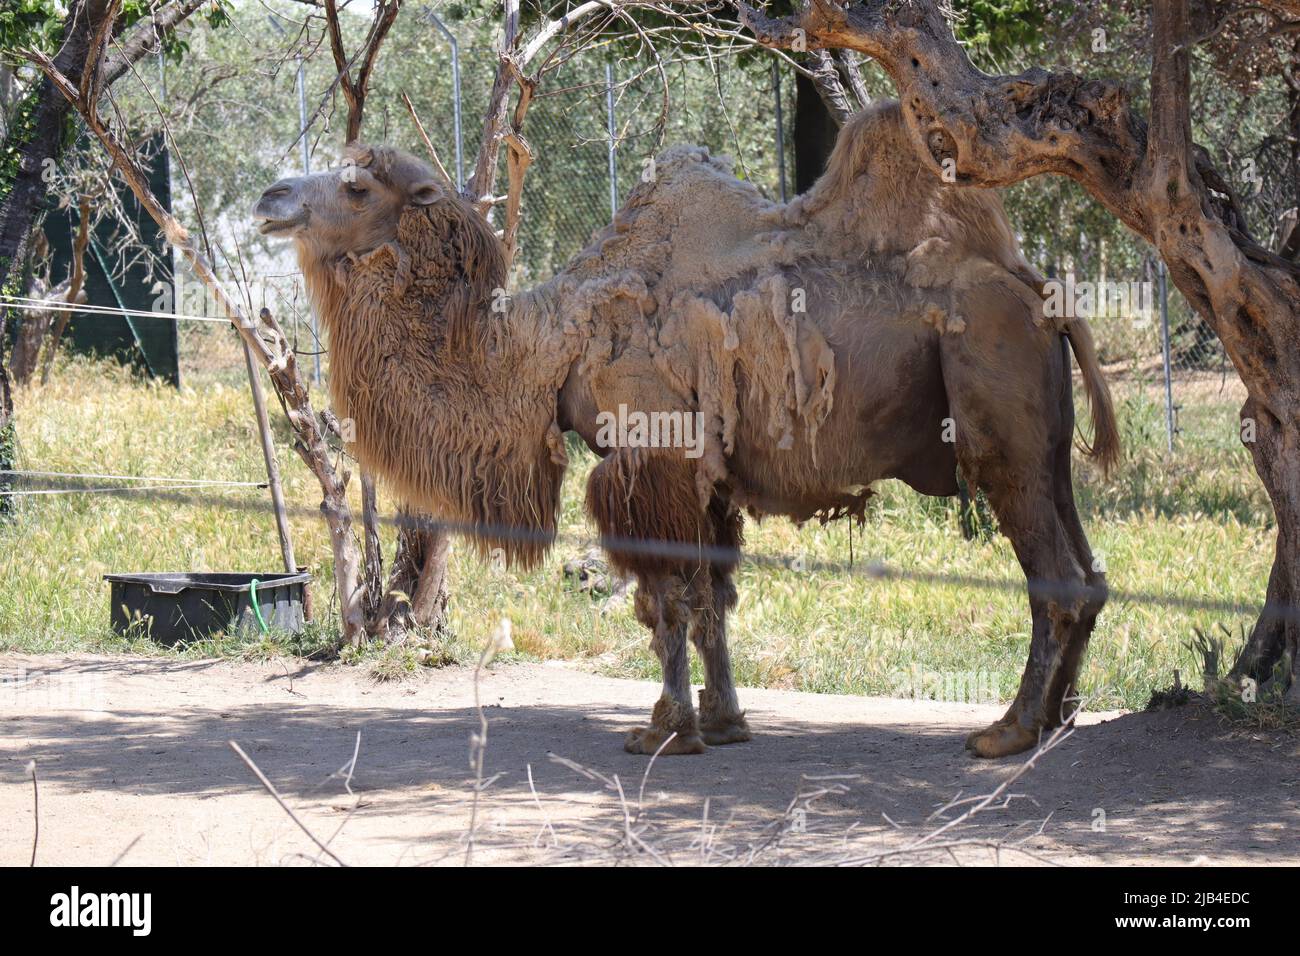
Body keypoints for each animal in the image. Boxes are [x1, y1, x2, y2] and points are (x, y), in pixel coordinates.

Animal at [252, 101, 1119, 759]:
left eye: (356, 184)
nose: (270, 196)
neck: (546, 347)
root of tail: (1043, 297)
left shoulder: (650, 456)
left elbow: (665, 598)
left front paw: (664, 729)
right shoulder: (708, 475)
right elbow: (712, 599)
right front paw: (726, 721)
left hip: (995, 408)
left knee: (1052, 574)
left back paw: (1008, 731)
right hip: (1045, 441)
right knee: (1089, 568)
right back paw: (1059, 717)